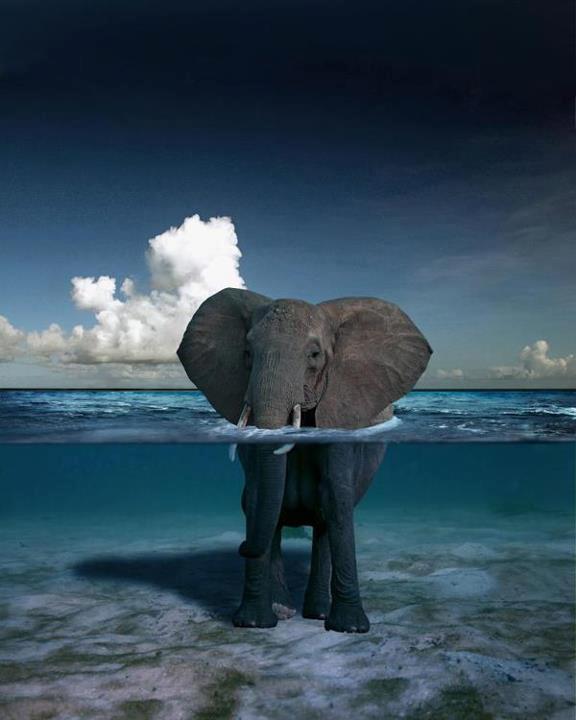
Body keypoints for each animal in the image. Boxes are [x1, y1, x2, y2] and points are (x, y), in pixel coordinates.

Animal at [177, 288, 432, 632]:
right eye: (247, 352)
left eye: (314, 355)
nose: (241, 547)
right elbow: (257, 498)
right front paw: (254, 624)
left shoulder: (342, 417)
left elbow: (336, 499)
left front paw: (350, 628)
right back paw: (283, 609)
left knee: (325, 523)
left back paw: (319, 614)